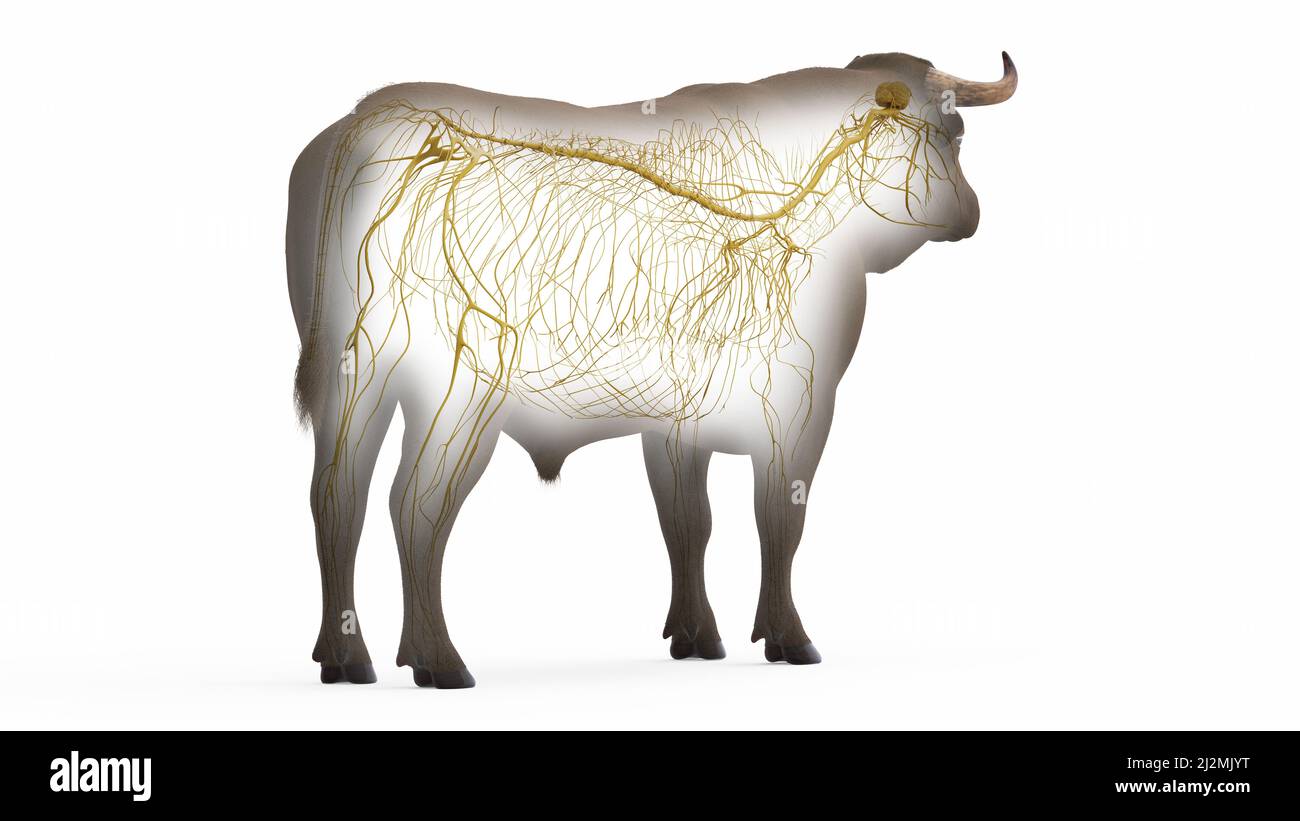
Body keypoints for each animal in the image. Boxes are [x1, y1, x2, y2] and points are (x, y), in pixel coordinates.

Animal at [286, 51, 1017, 687]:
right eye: (952, 132)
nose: (972, 212)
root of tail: (379, 117)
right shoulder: (802, 400)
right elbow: (778, 518)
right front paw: (789, 638)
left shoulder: (675, 420)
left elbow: (687, 520)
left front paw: (697, 636)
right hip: (460, 386)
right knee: (415, 504)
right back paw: (438, 661)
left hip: (356, 381)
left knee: (337, 496)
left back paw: (346, 656)